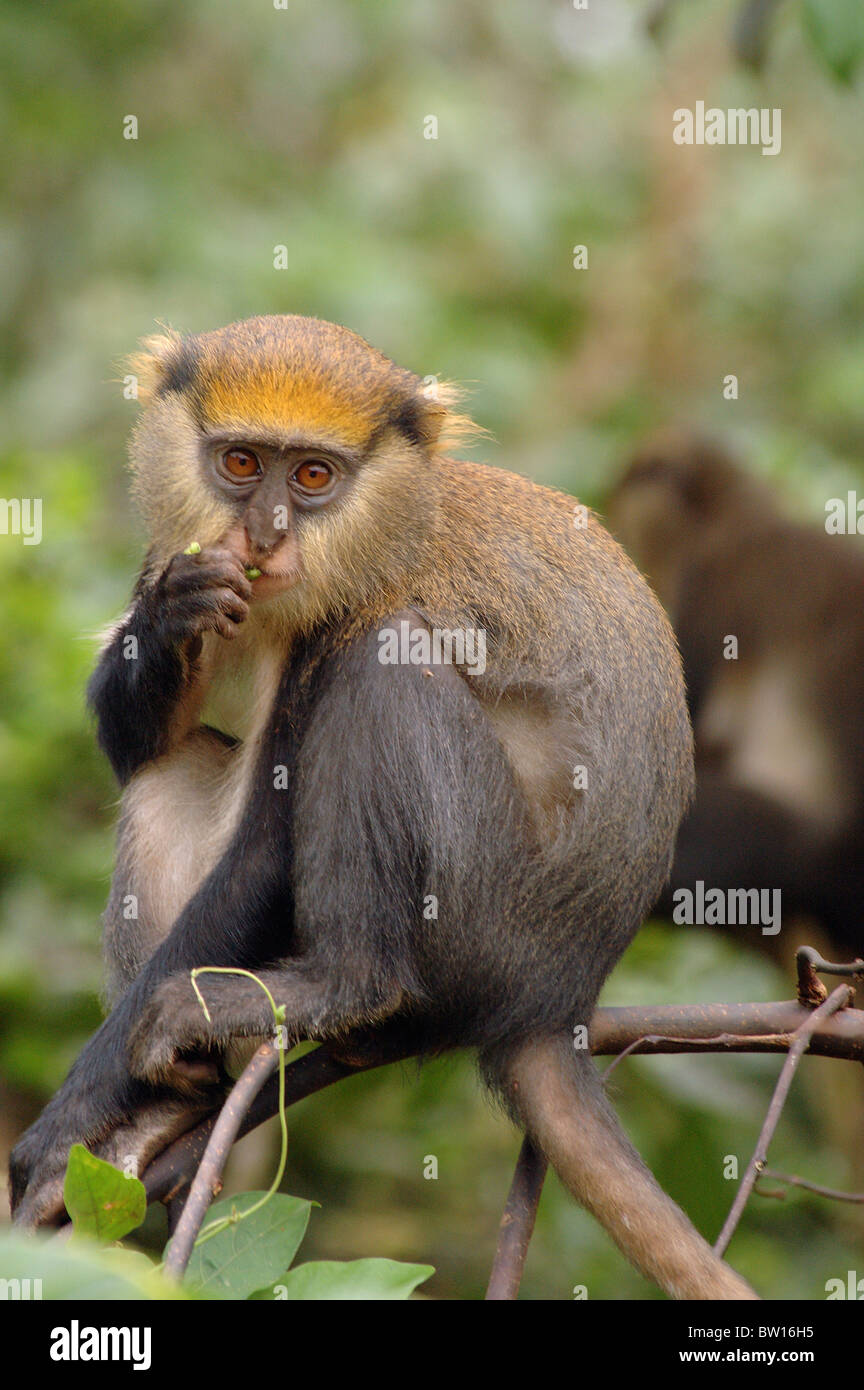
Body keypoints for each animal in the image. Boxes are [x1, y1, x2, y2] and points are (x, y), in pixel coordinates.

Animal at [9, 317, 755, 1299]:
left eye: (314, 477)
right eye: (241, 462)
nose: (265, 532)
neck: (385, 533)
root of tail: (562, 995)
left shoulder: (357, 612)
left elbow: (266, 854)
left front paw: (62, 1130)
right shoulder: (189, 551)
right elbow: (134, 745)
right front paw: (170, 622)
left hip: (488, 914)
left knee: (387, 671)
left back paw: (333, 991)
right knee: (173, 768)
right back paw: (172, 1107)